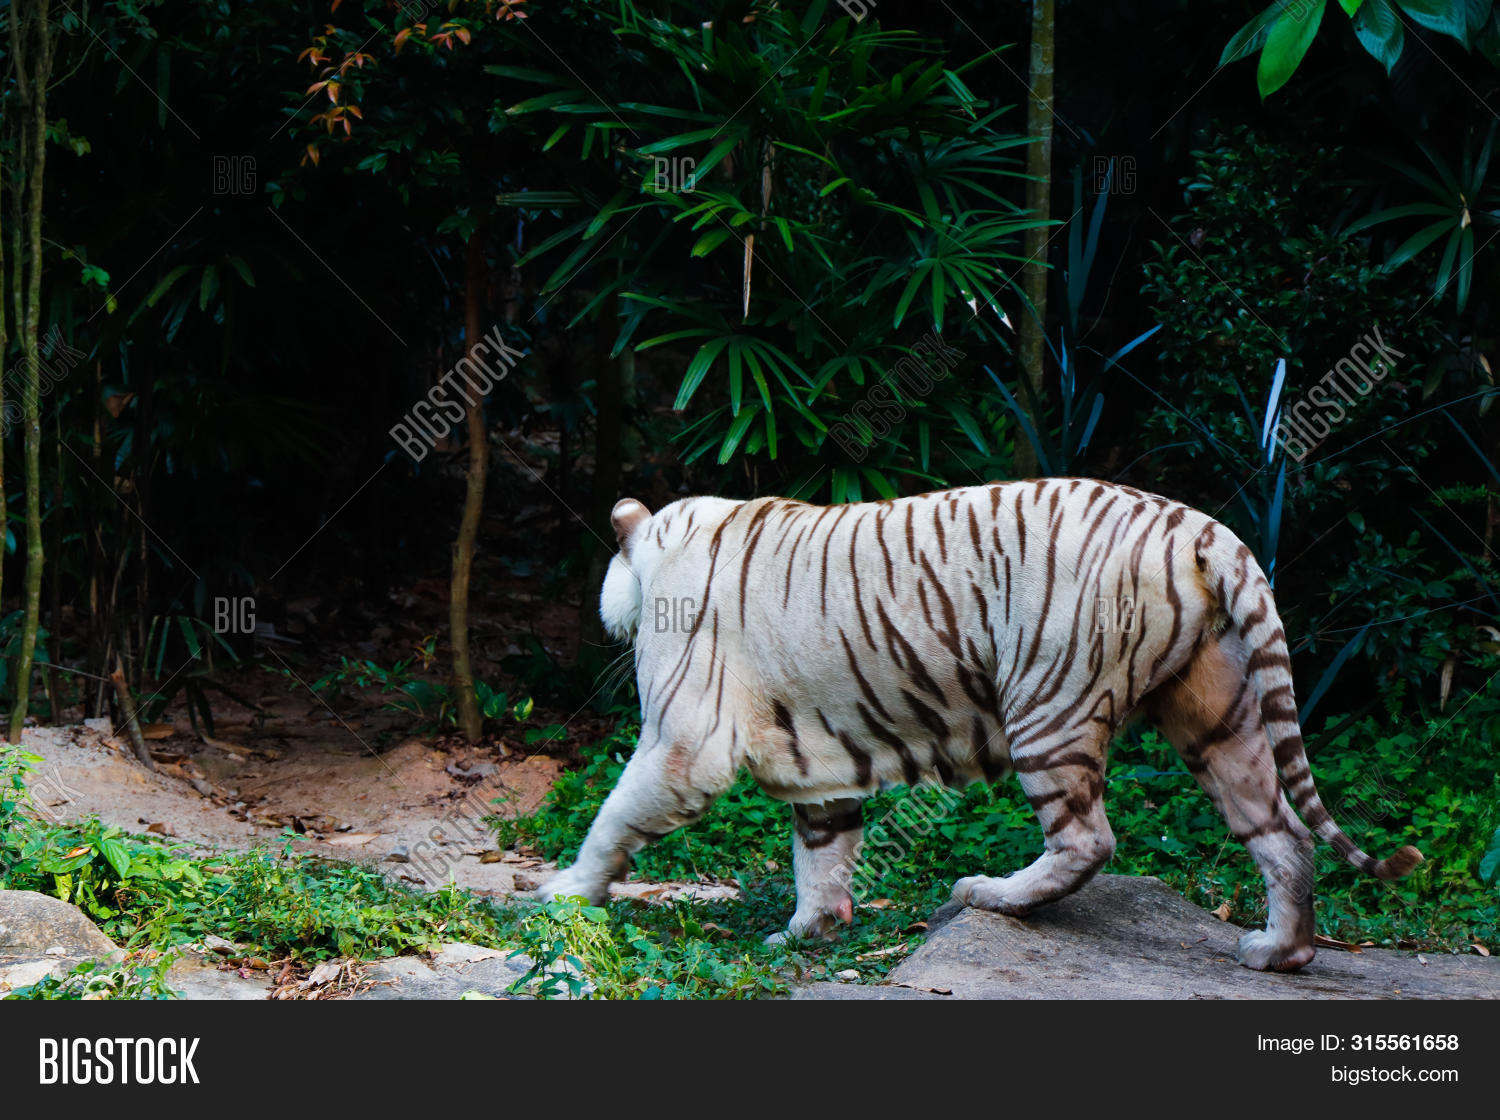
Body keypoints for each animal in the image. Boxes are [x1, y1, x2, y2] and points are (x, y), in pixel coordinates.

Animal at [537, 479, 1422, 972]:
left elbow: (614, 815)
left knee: (1087, 839)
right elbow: (822, 851)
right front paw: (808, 933)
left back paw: (993, 894)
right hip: (1217, 713)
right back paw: (1280, 952)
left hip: (1047, 699)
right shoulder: (816, 753)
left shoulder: (686, 741)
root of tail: (1204, 531)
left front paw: (564, 893)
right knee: (1283, 834)